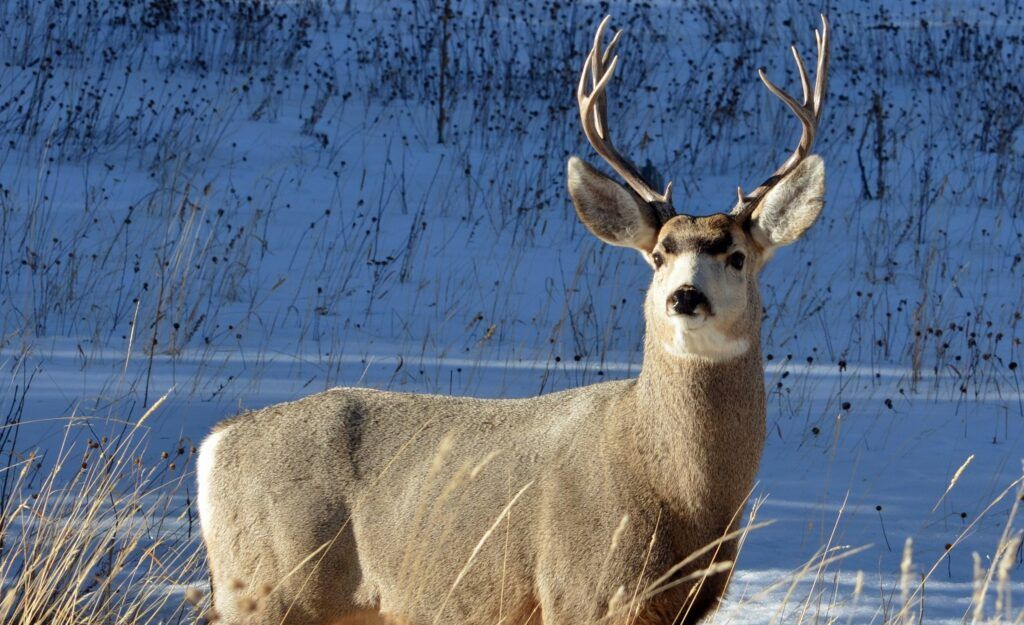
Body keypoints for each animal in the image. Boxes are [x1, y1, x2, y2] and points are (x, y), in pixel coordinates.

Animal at [197, 14, 830, 625]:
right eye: (658, 255)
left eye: (736, 255)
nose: (685, 297)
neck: (680, 496)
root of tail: (216, 444)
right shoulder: (579, 589)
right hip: (269, 590)